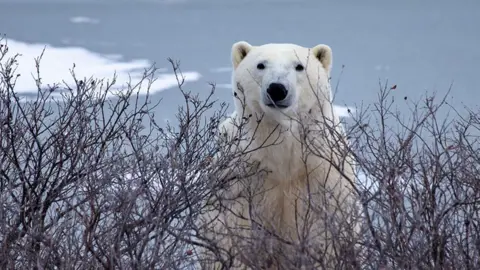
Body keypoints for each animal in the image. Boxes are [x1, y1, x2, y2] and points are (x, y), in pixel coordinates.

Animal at [196, 41, 360, 268]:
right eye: (261, 65)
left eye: (299, 66)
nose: (277, 89)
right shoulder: (240, 172)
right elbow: (231, 226)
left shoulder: (323, 170)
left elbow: (326, 227)